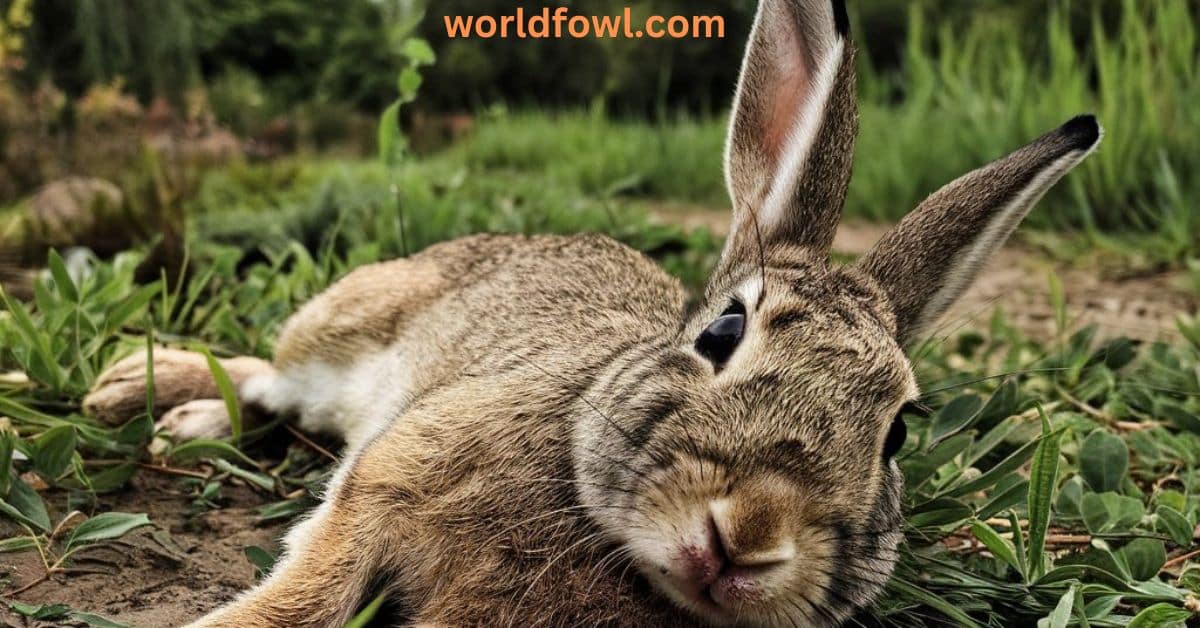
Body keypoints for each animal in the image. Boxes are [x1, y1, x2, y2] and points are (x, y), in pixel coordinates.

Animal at [83, 0, 1102, 625]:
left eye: (898, 433)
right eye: (721, 333)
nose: (750, 535)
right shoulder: (386, 480)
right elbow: (303, 590)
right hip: (344, 329)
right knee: (269, 373)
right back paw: (142, 397)